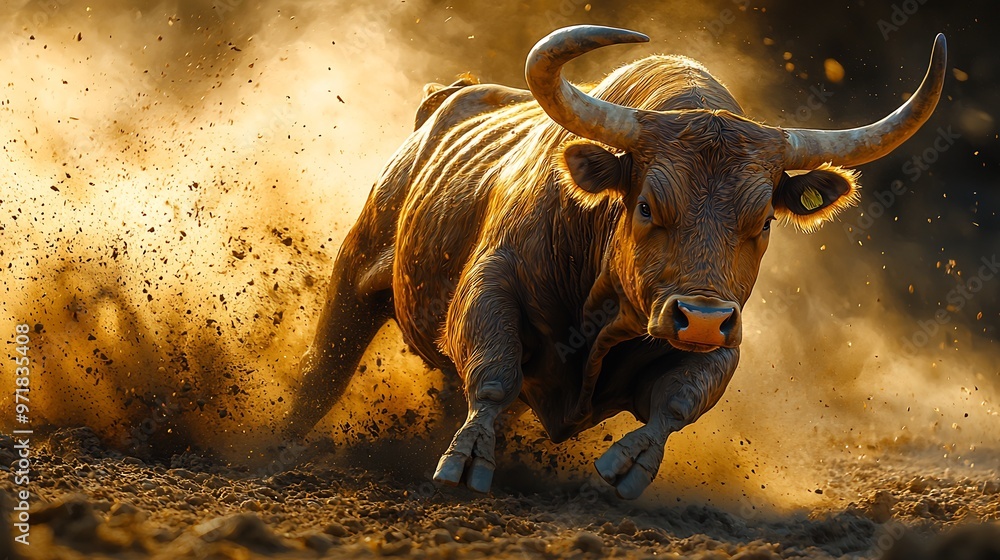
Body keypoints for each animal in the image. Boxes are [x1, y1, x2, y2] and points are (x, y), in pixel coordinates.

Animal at [282, 26, 947, 499]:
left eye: (762, 222)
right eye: (648, 204)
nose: (701, 319)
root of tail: (447, 102)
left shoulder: (724, 345)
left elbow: (676, 404)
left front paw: (631, 463)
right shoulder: (490, 287)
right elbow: (494, 375)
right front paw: (466, 458)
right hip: (355, 275)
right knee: (321, 373)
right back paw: (280, 449)